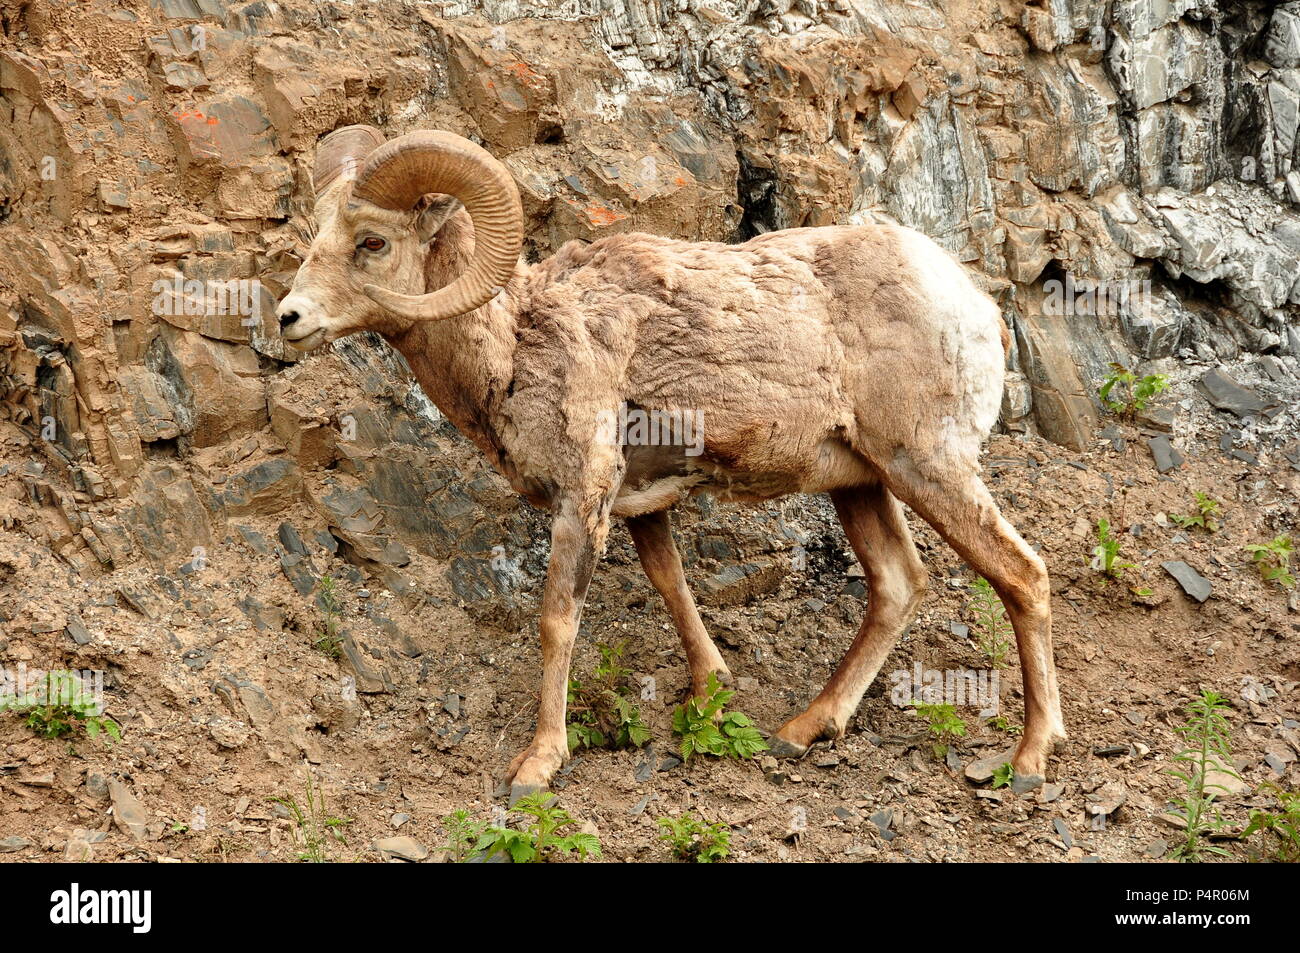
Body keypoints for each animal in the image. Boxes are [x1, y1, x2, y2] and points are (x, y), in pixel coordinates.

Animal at [277, 126, 1067, 802]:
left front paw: (537, 766)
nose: (289, 317)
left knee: (1022, 576)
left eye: (372, 242)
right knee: (899, 584)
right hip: (863, 484)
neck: (514, 345)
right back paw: (802, 730)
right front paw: (713, 693)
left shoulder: (582, 500)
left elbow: (558, 621)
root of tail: (975, 306)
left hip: (928, 467)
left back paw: (1030, 760)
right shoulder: (642, 503)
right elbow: (671, 582)